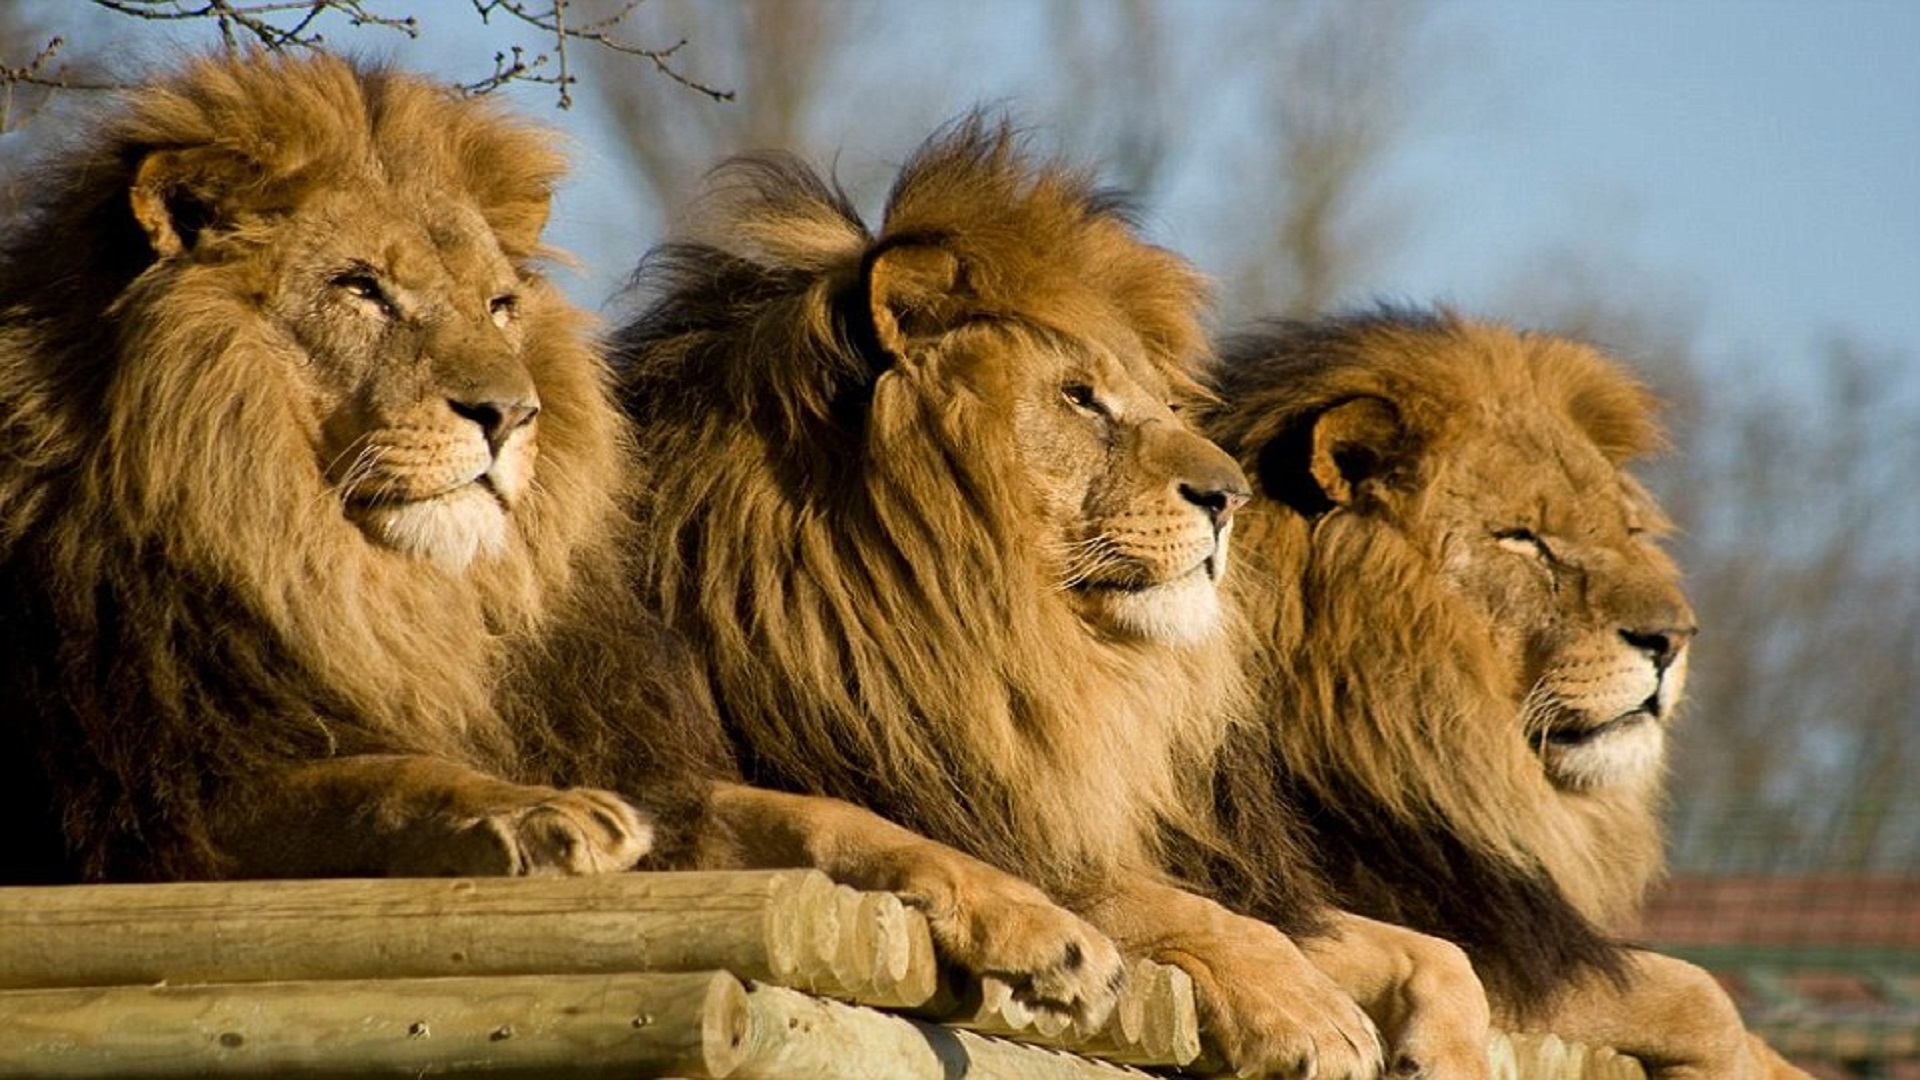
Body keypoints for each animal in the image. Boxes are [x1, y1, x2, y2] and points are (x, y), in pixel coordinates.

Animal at [0, 53, 1130, 1025]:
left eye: (500, 305)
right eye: (360, 287)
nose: (509, 413)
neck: (381, 589)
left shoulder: (647, 766)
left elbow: (823, 818)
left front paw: (1047, 926)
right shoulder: (159, 802)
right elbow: (377, 781)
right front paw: (540, 813)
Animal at [611, 119, 1496, 1078]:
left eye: (1167, 403)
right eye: (1079, 396)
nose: (1232, 499)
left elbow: (1437, 952)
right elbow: (1126, 896)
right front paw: (1303, 1009)